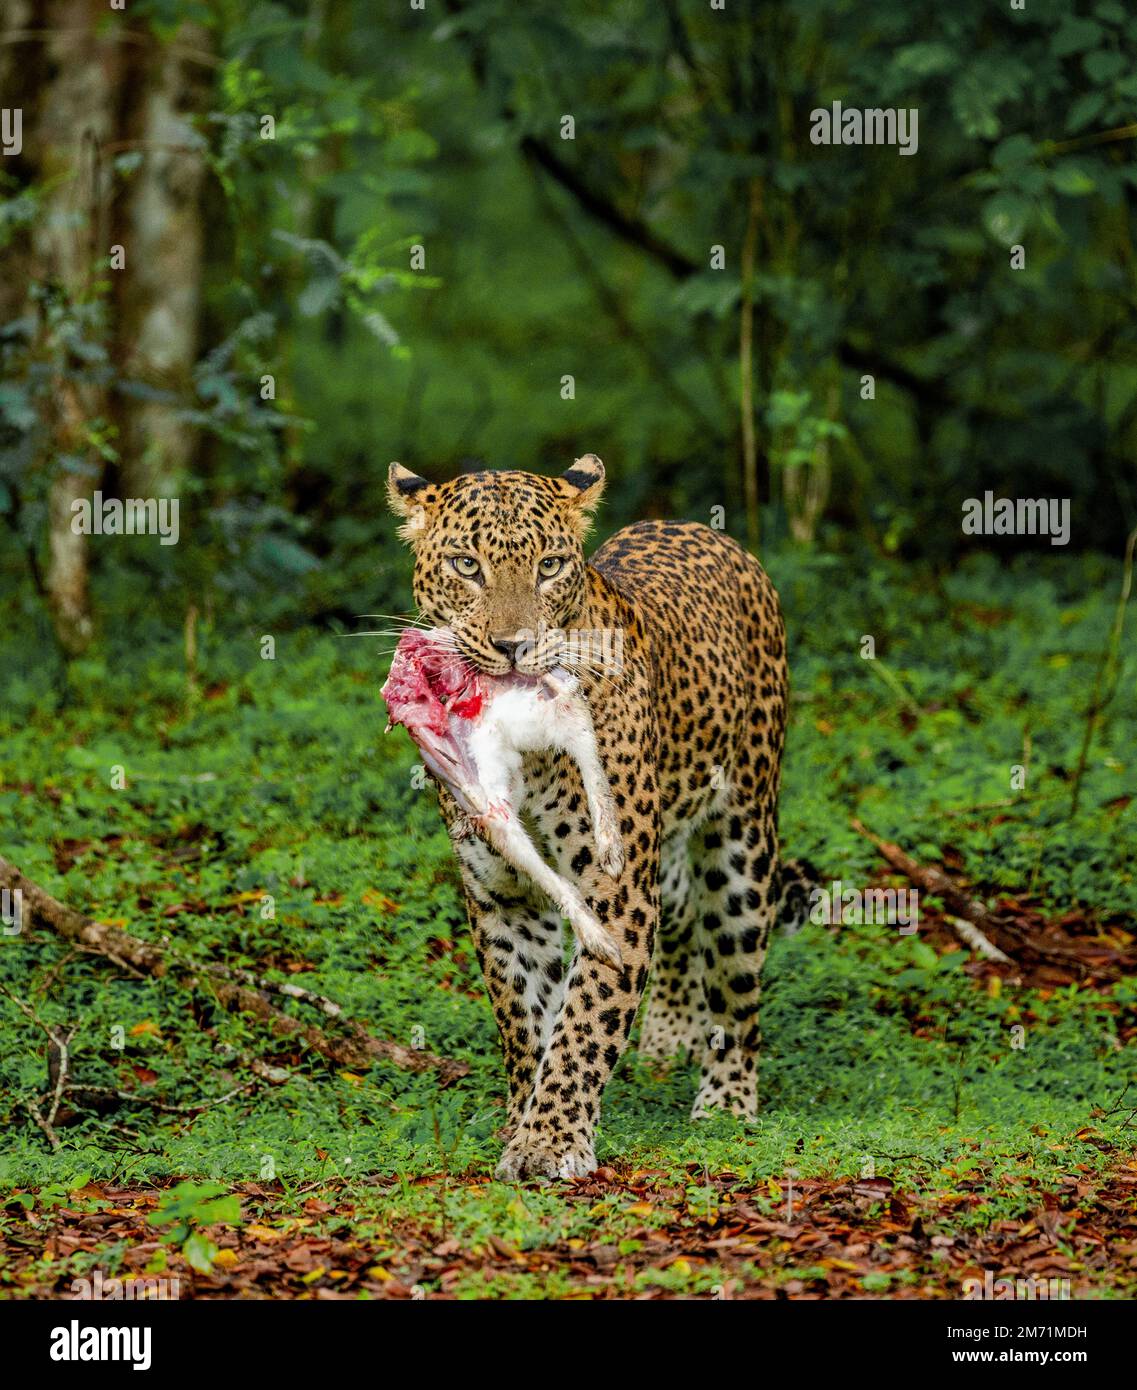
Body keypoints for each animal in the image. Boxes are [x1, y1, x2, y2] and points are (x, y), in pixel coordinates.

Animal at [387, 453, 807, 1180]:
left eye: (550, 565)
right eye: (467, 565)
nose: (514, 646)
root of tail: (699, 527)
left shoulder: (615, 889)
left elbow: (584, 1019)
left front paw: (551, 1140)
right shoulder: (501, 893)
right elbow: (526, 1018)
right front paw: (523, 1122)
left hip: (743, 838)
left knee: (736, 982)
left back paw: (726, 1100)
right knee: (682, 915)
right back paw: (667, 1038)